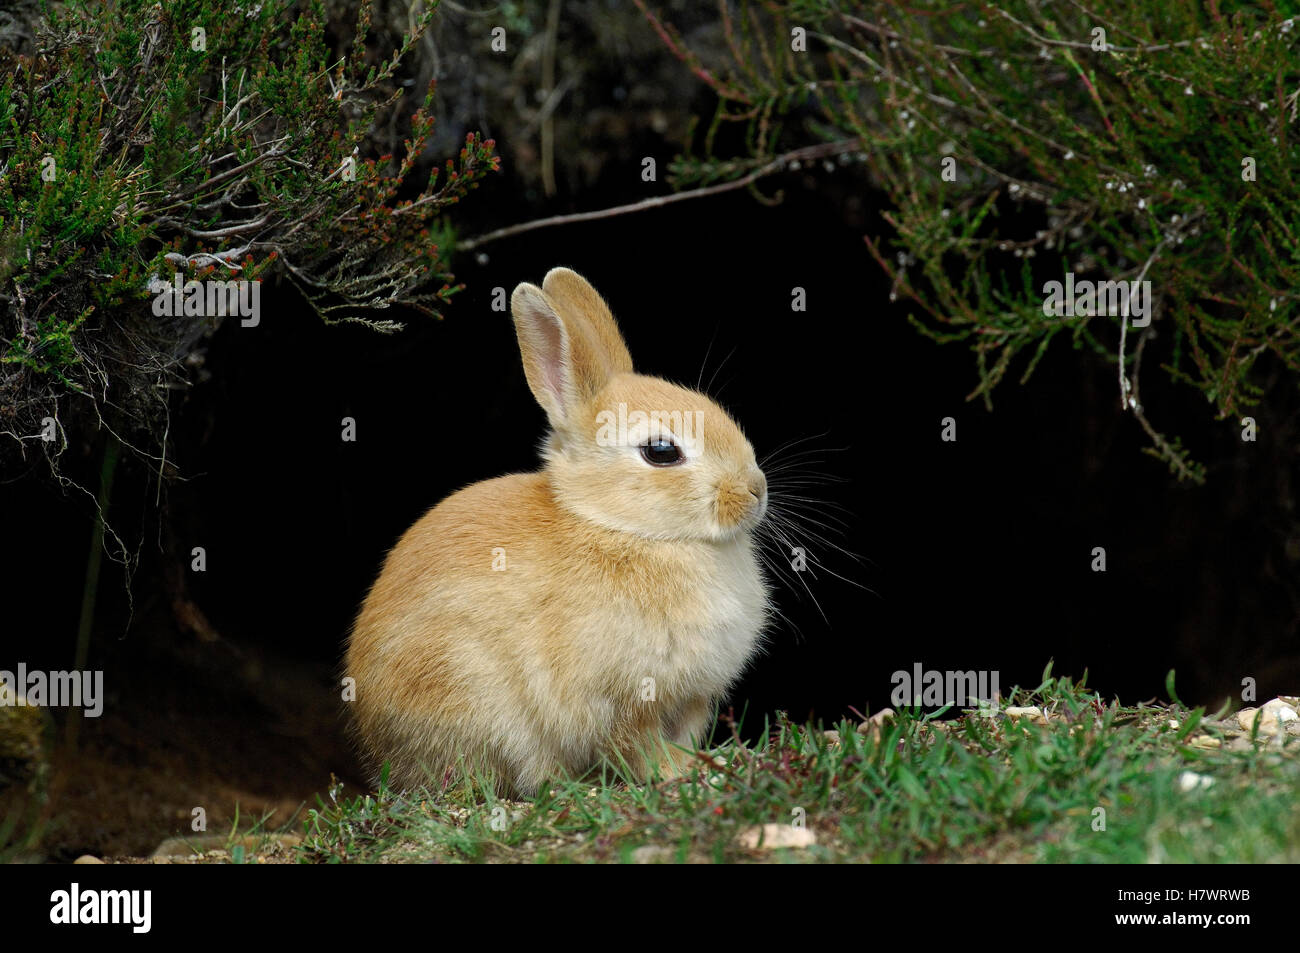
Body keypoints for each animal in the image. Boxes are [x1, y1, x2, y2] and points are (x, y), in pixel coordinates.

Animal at [345, 267, 770, 796]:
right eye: (661, 452)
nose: (756, 491)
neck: (620, 526)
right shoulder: (620, 699)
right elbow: (638, 744)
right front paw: (681, 772)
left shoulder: (692, 698)